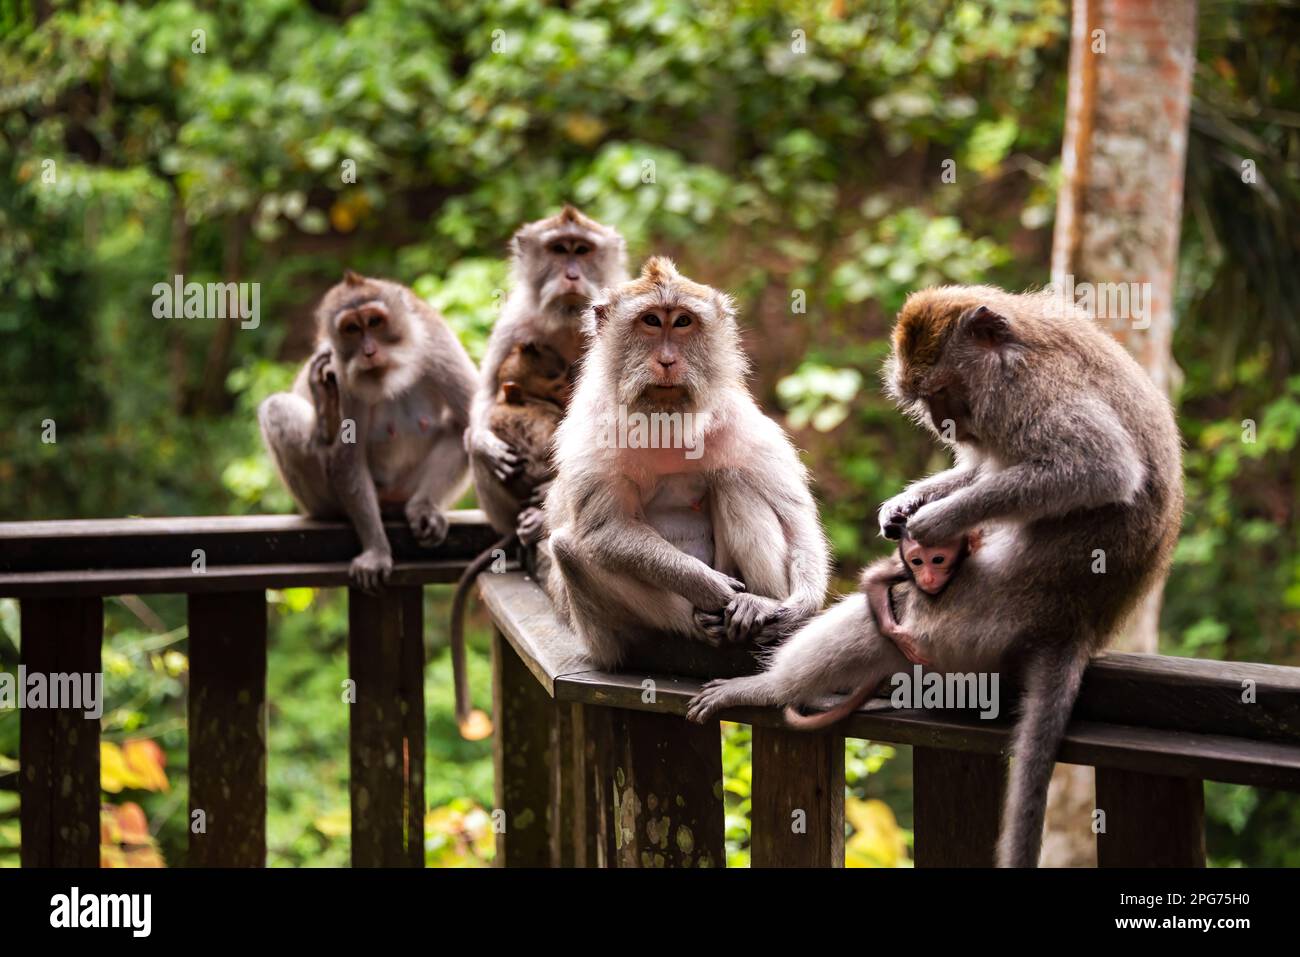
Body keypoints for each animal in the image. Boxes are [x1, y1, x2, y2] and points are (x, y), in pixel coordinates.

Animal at [258, 270, 478, 592]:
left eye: (375, 322)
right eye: (351, 329)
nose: (370, 352)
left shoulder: (436, 340)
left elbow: (471, 421)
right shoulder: (339, 375)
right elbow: (348, 458)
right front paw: (376, 550)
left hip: (406, 487)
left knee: (458, 429)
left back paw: (422, 506)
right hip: (319, 500)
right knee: (277, 409)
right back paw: (324, 415)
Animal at [466, 206, 627, 541]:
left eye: (582, 250)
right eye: (559, 249)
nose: (571, 276)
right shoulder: (513, 320)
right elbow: (487, 391)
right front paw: (486, 445)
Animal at [542, 258, 831, 670]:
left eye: (682, 322)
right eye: (650, 321)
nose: (667, 360)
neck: (665, 422)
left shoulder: (735, 415)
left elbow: (794, 512)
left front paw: (800, 603)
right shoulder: (592, 426)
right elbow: (605, 527)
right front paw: (706, 585)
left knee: (735, 481)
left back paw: (761, 608)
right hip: (601, 638)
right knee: (569, 548)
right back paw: (696, 628)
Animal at [687, 284, 1184, 868]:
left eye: (942, 389)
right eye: (922, 397)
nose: (943, 421)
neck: (1016, 343)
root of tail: (1077, 626)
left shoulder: (1028, 392)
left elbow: (1099, 468)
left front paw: (933, 521)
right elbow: (983, 468)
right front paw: (902, 508)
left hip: (976, 617)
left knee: (884, 618)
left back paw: (769, 689)